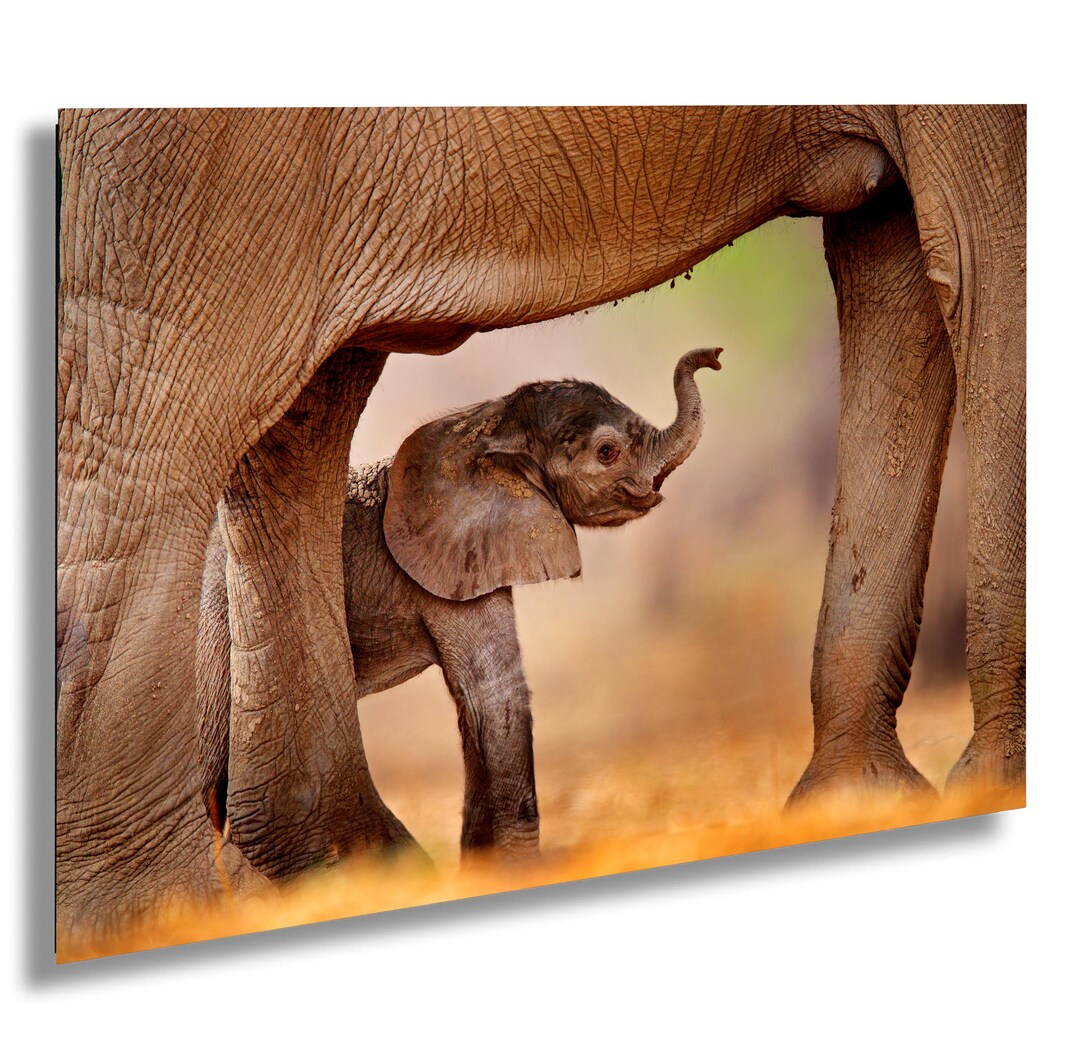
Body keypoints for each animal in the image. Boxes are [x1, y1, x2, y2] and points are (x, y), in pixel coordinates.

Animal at [196, 349, 721, 866]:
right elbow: (493, 691)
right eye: (607, 452)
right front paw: (512, 871)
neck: (490, 426)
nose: (713, 357)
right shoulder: (446, 562)